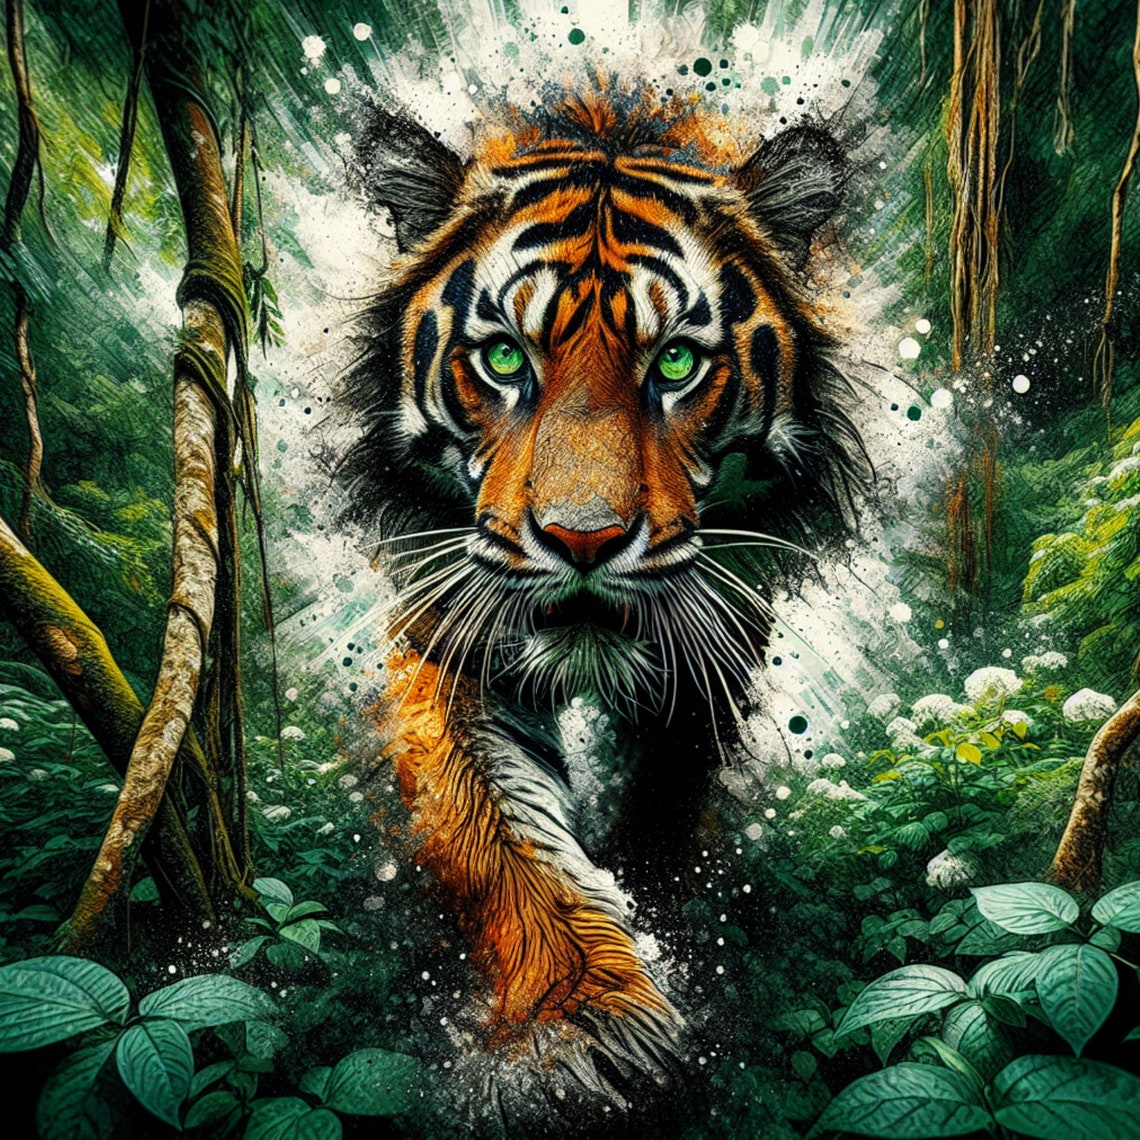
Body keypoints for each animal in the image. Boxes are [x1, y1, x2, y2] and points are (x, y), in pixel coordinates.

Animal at [339, 88, 867, 1094]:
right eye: (506, 360)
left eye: (675, 365)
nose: (583, 539)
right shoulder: (448, 634)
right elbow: (500, 836)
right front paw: (580, 1024)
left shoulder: (717, 650)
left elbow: (666, 800)